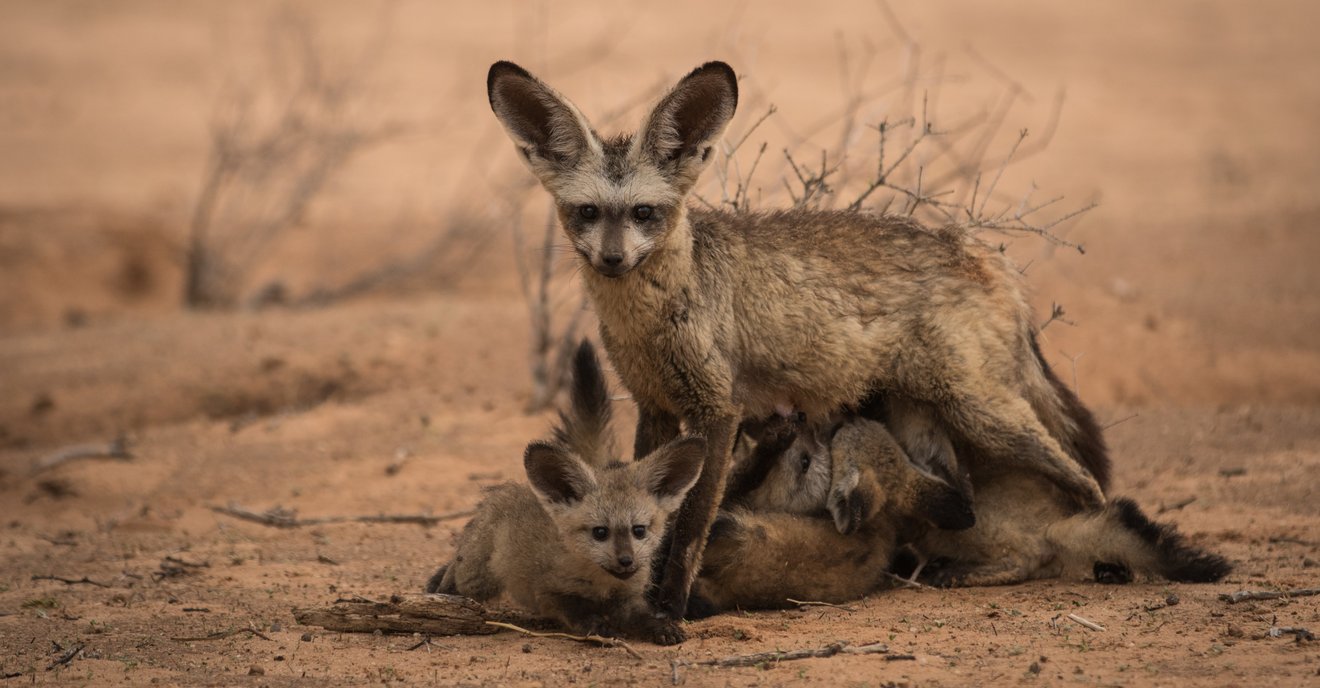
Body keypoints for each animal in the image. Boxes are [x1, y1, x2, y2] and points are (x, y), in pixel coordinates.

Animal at [425, 341, 703, 644]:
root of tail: (506, 492)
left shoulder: (628, 598)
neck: (601, 584)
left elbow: (643, 617)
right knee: (455, 575)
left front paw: (662, 628)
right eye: (600, 532)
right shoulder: (550, 592)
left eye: (638, 530)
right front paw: (598, 627)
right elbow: (577, 611)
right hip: (475, 579)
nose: (626, 561)